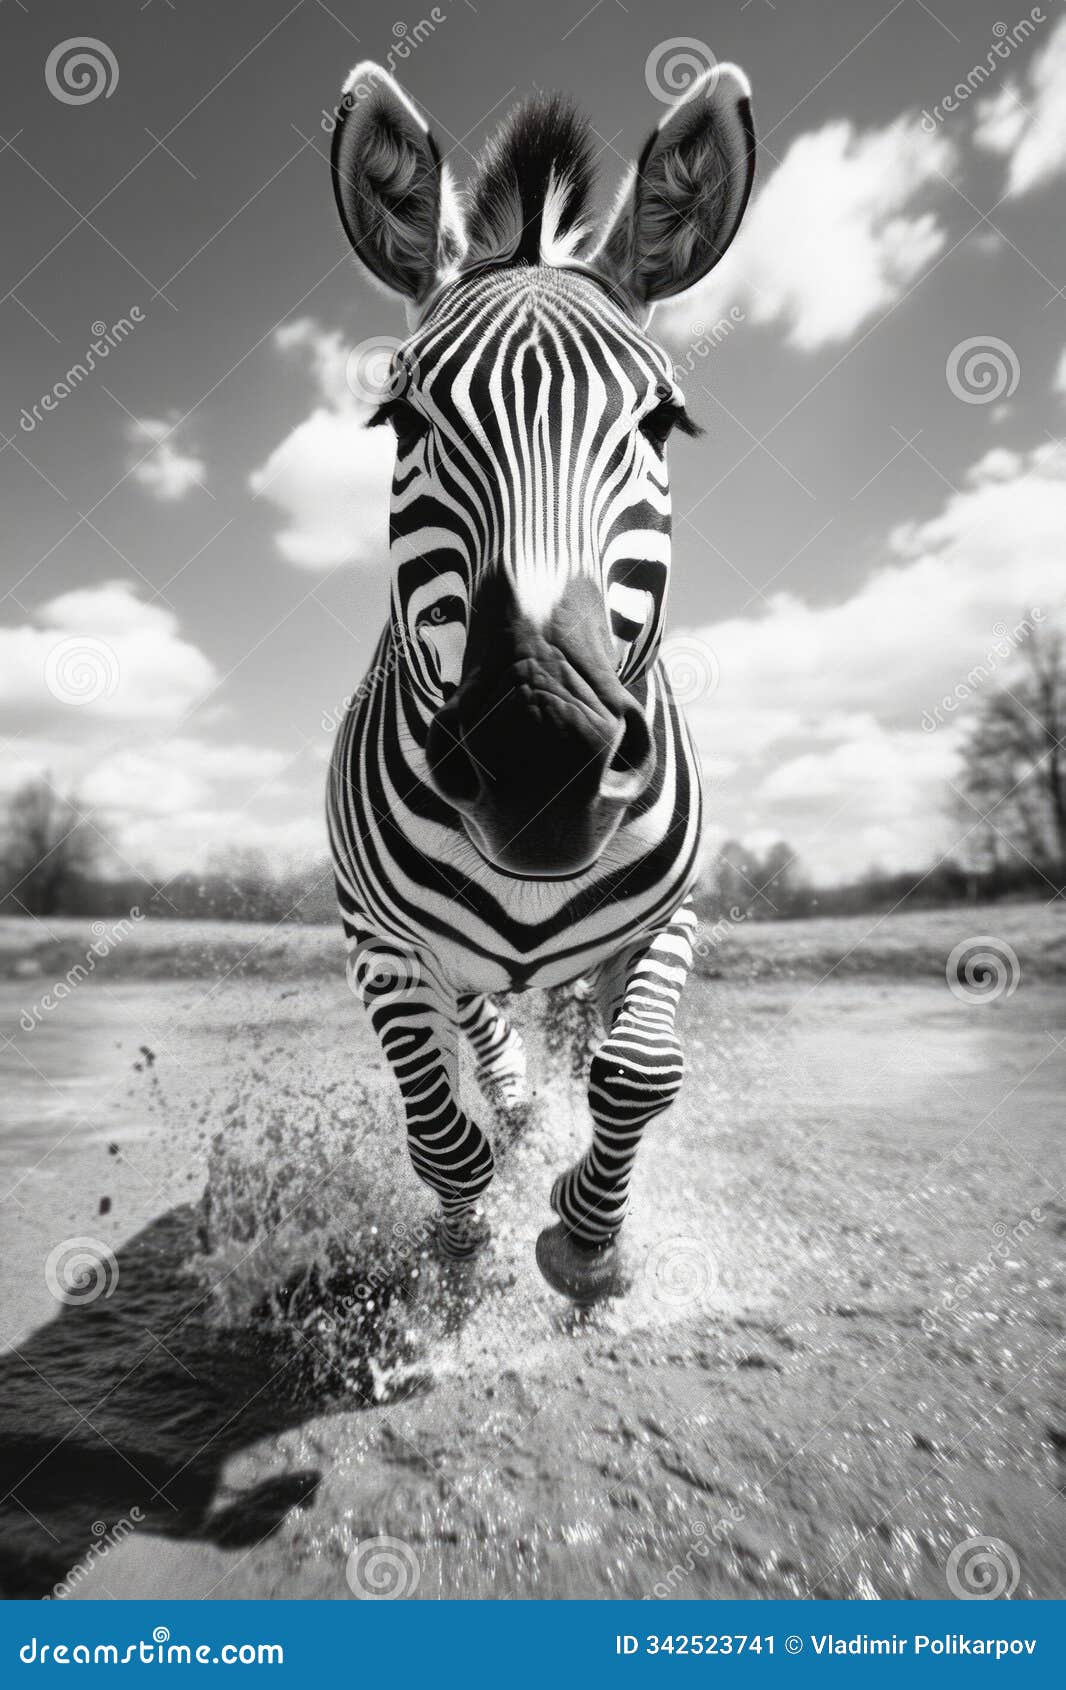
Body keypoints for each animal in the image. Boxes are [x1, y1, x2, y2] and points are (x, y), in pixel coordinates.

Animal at [327, 57, 755, 1300]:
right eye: (399, 418)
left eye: (663, 422)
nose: (538, 754)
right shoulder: (378, 939)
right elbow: (439, 1129)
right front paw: (459, 1253)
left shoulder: (668, 915)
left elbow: (640, 1073)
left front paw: (587, 1239)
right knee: (486, 1049)